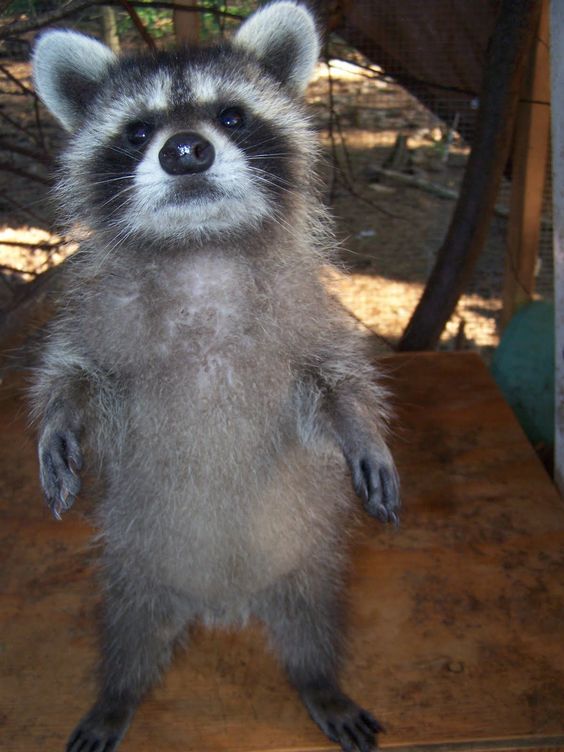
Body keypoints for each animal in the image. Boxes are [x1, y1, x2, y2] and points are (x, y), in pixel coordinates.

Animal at [30, 3, 400, 751]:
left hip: (310, 565)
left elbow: (337, 381)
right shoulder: (101, 318)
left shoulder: (307, 311)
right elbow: (76, 373)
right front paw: (60, 419)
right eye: (137, 131)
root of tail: (224, 605)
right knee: (128, 634)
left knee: (313, 628)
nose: (184, 150)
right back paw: (116, 695)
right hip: (134, 572)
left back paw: (320, 681)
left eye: (230, 116)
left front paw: (360, 429)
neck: (201, 249)